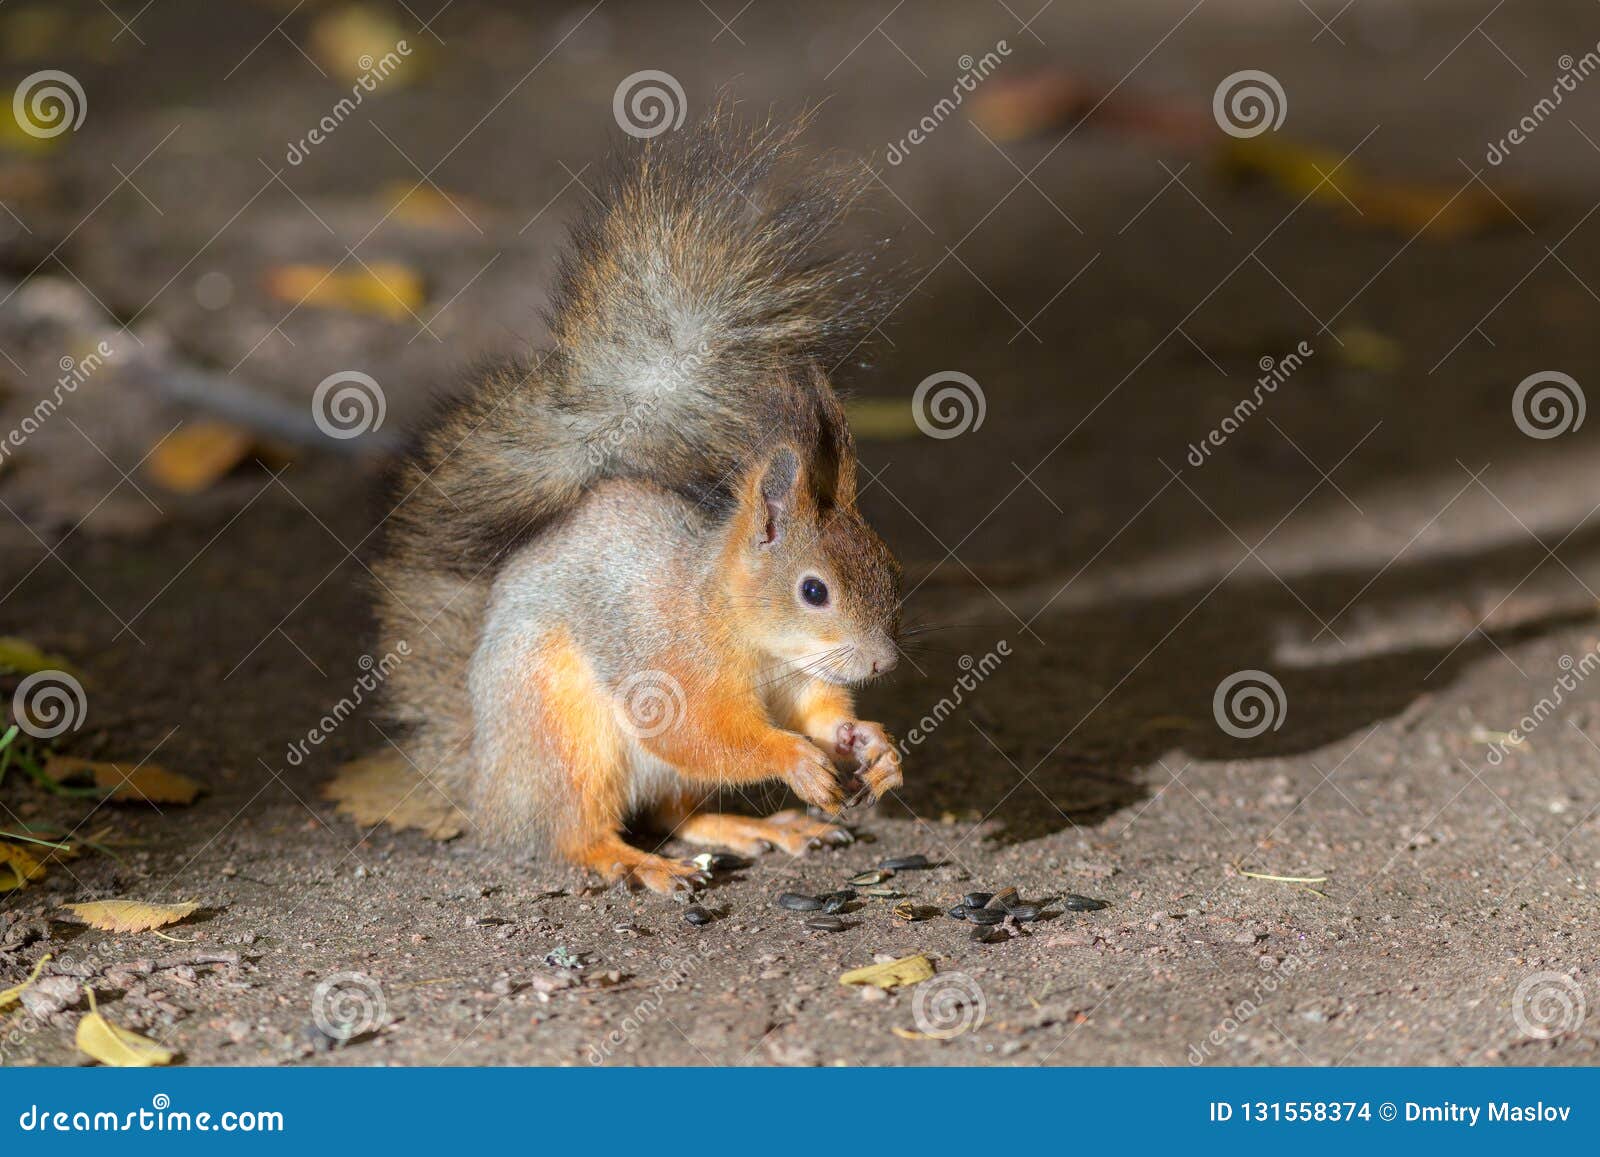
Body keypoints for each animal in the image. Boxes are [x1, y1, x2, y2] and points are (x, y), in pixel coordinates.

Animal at [372, 111, 906, 891]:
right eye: (814, 591)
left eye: (891, 569)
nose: (881, 664)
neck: (741, 627)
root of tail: (488, 784)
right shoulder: (669, 665)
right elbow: (702, 734)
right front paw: (794, 760)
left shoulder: (797, 683)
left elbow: (818, 714)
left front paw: (871, 742)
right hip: (568, 735)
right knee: (577, 832)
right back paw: (633, 862)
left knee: (676, 814)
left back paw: (757, 827)